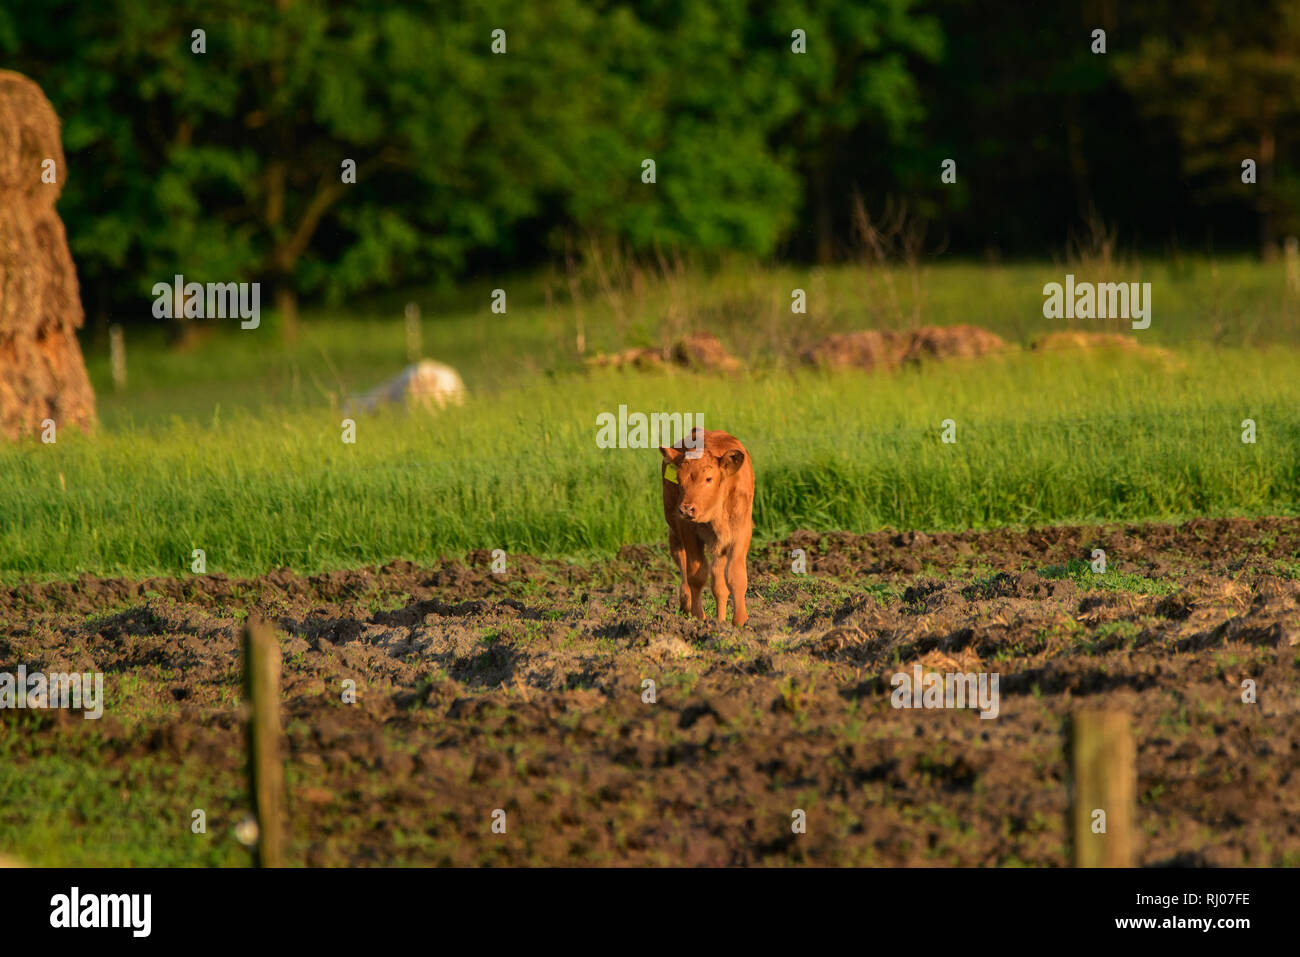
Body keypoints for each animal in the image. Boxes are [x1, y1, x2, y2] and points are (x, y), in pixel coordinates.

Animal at [659, 428, 754, 626]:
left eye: (708, 478)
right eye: (679, 480)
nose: (686, 508)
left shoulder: (741, 531)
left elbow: (735, 576)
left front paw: (739, 621)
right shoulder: (687, 531)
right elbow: (696, 575)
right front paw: (699, 617)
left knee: (719, 583)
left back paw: (720, 620)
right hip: (675, 533)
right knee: (682, 563)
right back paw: (686, 604)